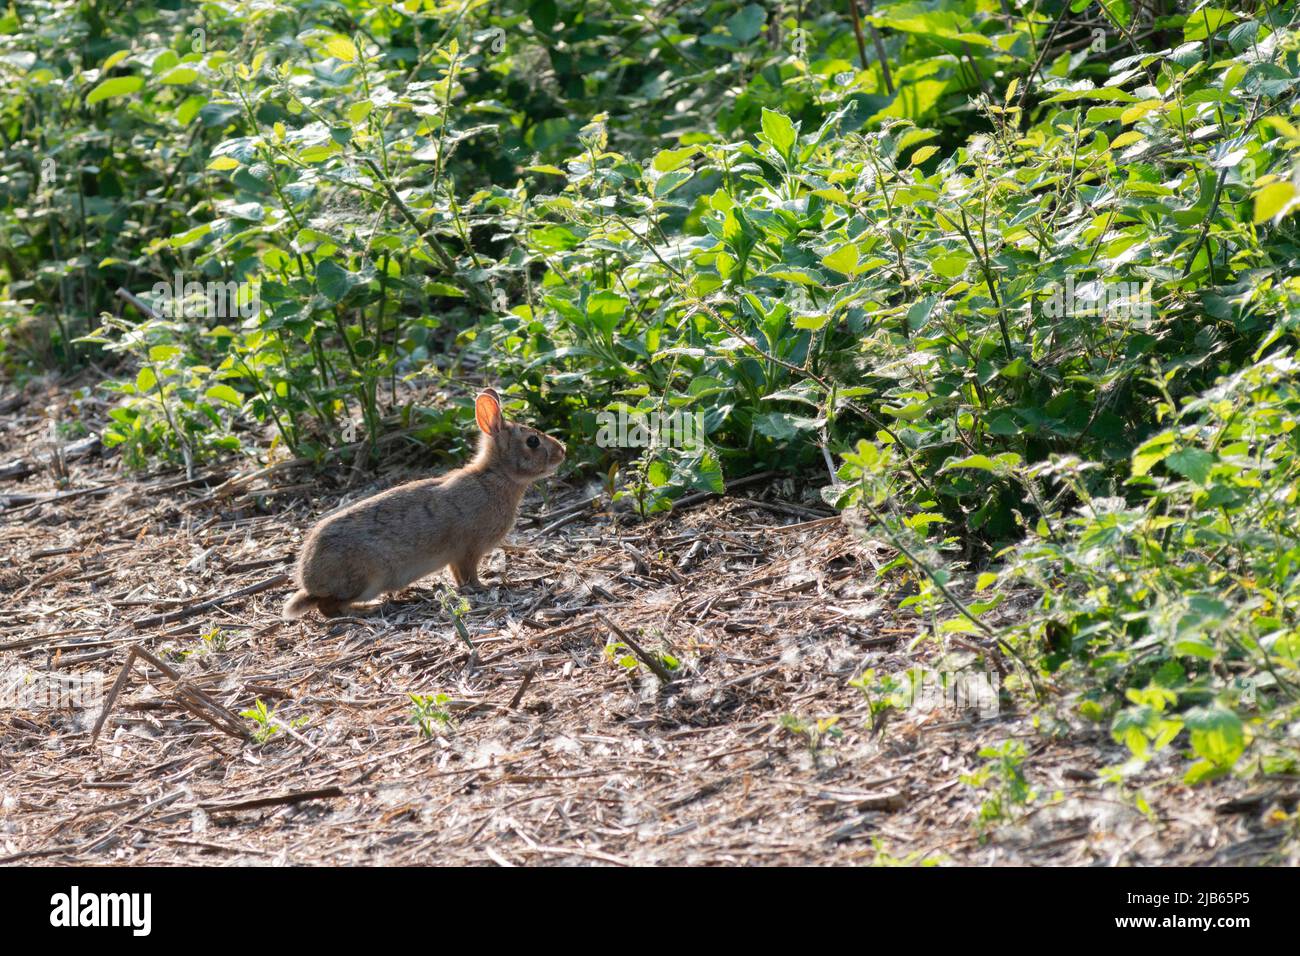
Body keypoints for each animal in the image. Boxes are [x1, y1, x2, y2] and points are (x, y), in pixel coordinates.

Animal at [282, 388, 565, 619]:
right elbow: (469, 574)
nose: (562, 451)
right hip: (366, 579)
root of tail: (308, 579)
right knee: (328, 607)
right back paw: (368, 609)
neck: (495, 475)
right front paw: (485, 586)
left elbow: (458, 576)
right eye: (532, 441)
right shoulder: (468, 549)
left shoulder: (456, 558)